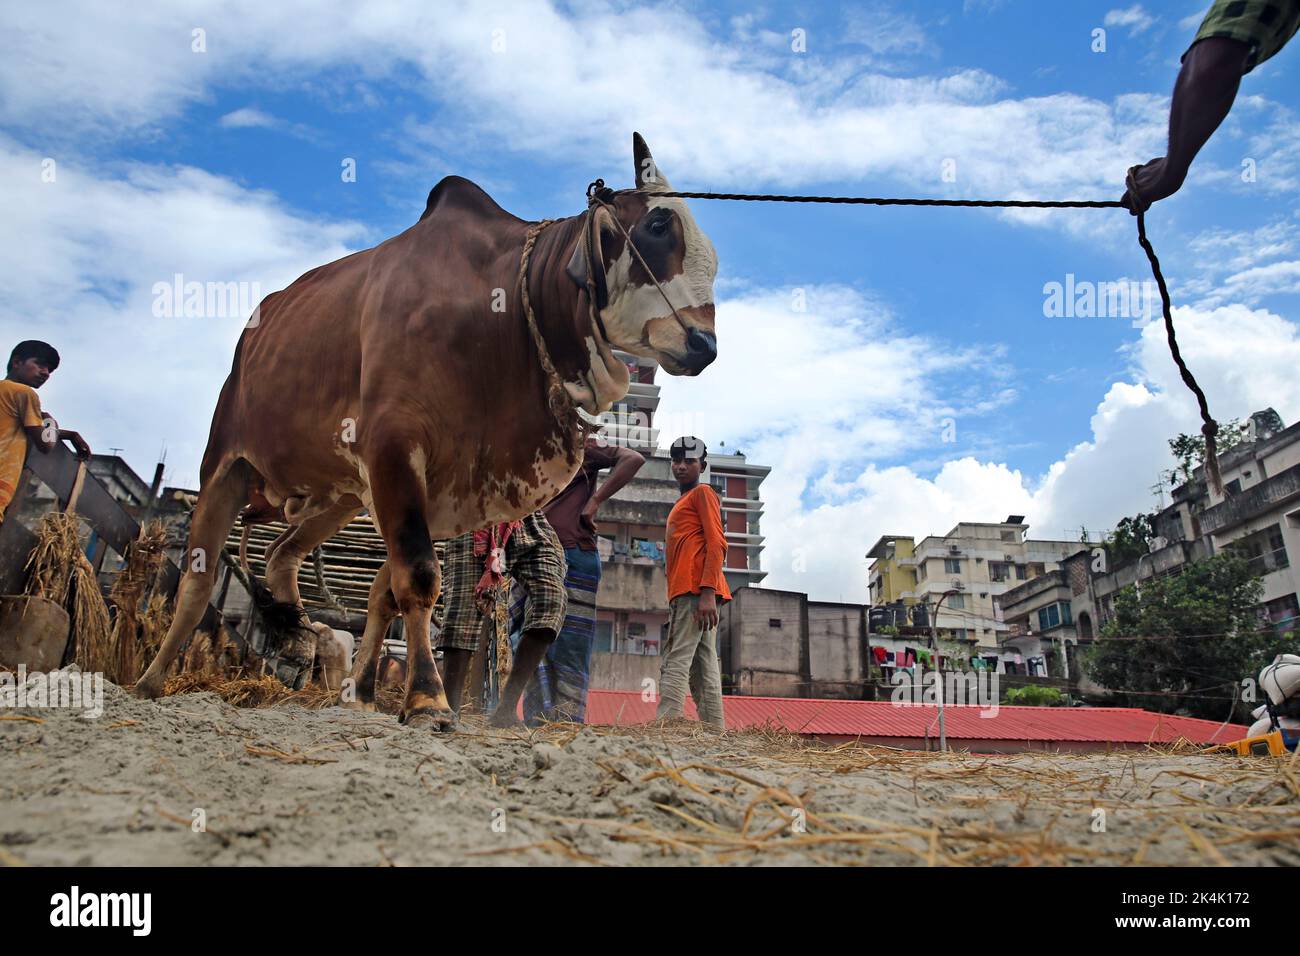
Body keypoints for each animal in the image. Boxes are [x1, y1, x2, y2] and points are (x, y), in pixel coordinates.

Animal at [133, 134, 720, 732]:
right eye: (657, 225)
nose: (704, 344)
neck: (500, 307)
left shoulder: (431, 487)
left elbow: (386, 592)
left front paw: (369, 694)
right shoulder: (395, 449)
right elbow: (416, 578)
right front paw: (427, 699)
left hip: (339, 496)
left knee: (280, 554)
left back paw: (299, 635)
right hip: (225, 464)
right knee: (197, 581)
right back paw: (151, 680)